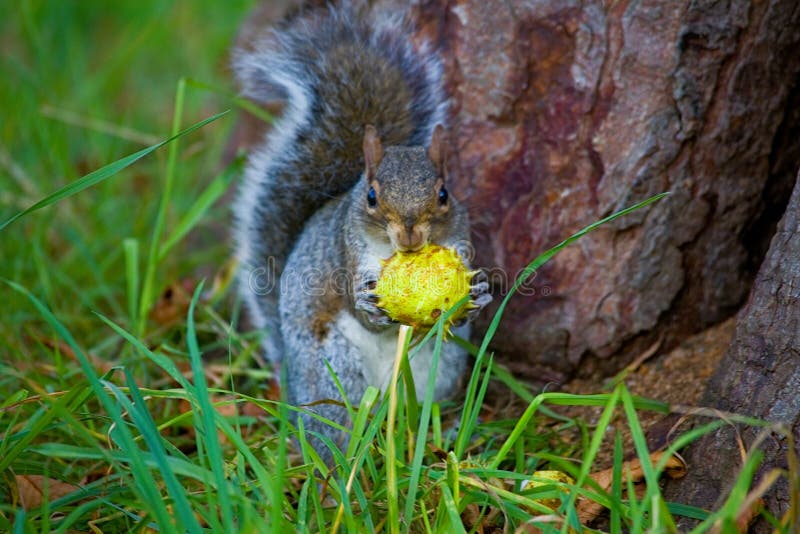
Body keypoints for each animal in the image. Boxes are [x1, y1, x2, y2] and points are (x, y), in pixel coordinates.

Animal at [232, 4, 492, 459]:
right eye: (371, 197)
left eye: (444, 193)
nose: (410, 237)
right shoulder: (346, 251)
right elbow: (358, 307)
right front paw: (368, 307)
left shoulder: (461, 240)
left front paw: (479, 294)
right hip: (332, 370)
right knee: (333, 425)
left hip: (439, 369)